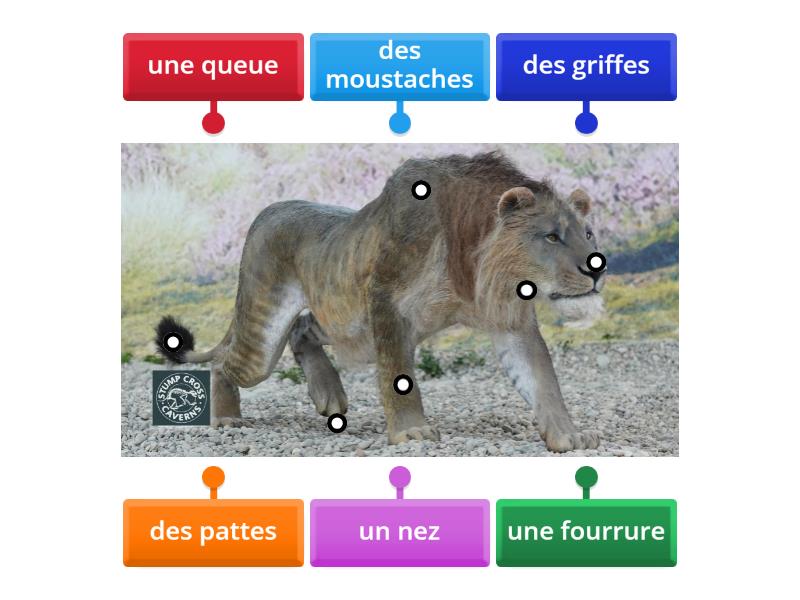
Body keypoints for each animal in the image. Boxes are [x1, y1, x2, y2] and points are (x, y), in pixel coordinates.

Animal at [155, 151, 606, 452]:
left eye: (587, 234)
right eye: (551, 236)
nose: (597, 267)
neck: (474, 256)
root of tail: (266, 211)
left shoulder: (511, 320)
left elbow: (543, 380)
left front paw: (569, 436)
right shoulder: (386, 300)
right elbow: (398, 375)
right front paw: (412, 433)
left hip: (349, 324)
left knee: (302, 328)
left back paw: (328, 395)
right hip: (267, 333)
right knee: (225, 362)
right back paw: (226, 417)